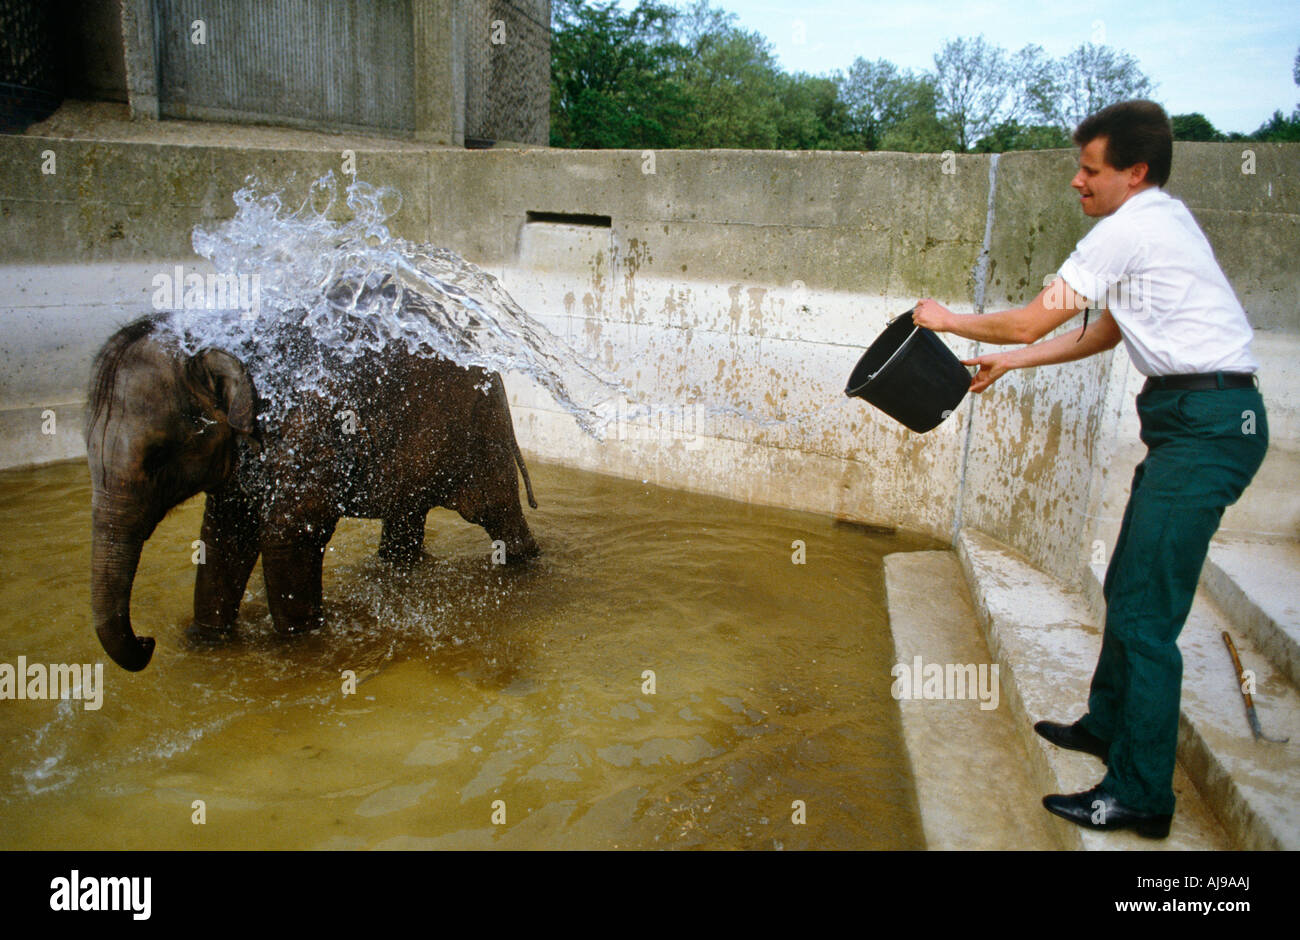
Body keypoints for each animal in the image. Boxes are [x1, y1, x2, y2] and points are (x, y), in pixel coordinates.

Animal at [86, 301, 539, 672]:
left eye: (157, 455)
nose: (147, 642)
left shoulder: (304, 433)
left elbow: (290, 536)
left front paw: (301, 649)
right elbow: (225, 535)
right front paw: (205, 641)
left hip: (479, 432)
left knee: (494, 511)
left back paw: (522, 566)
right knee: (406, 518)